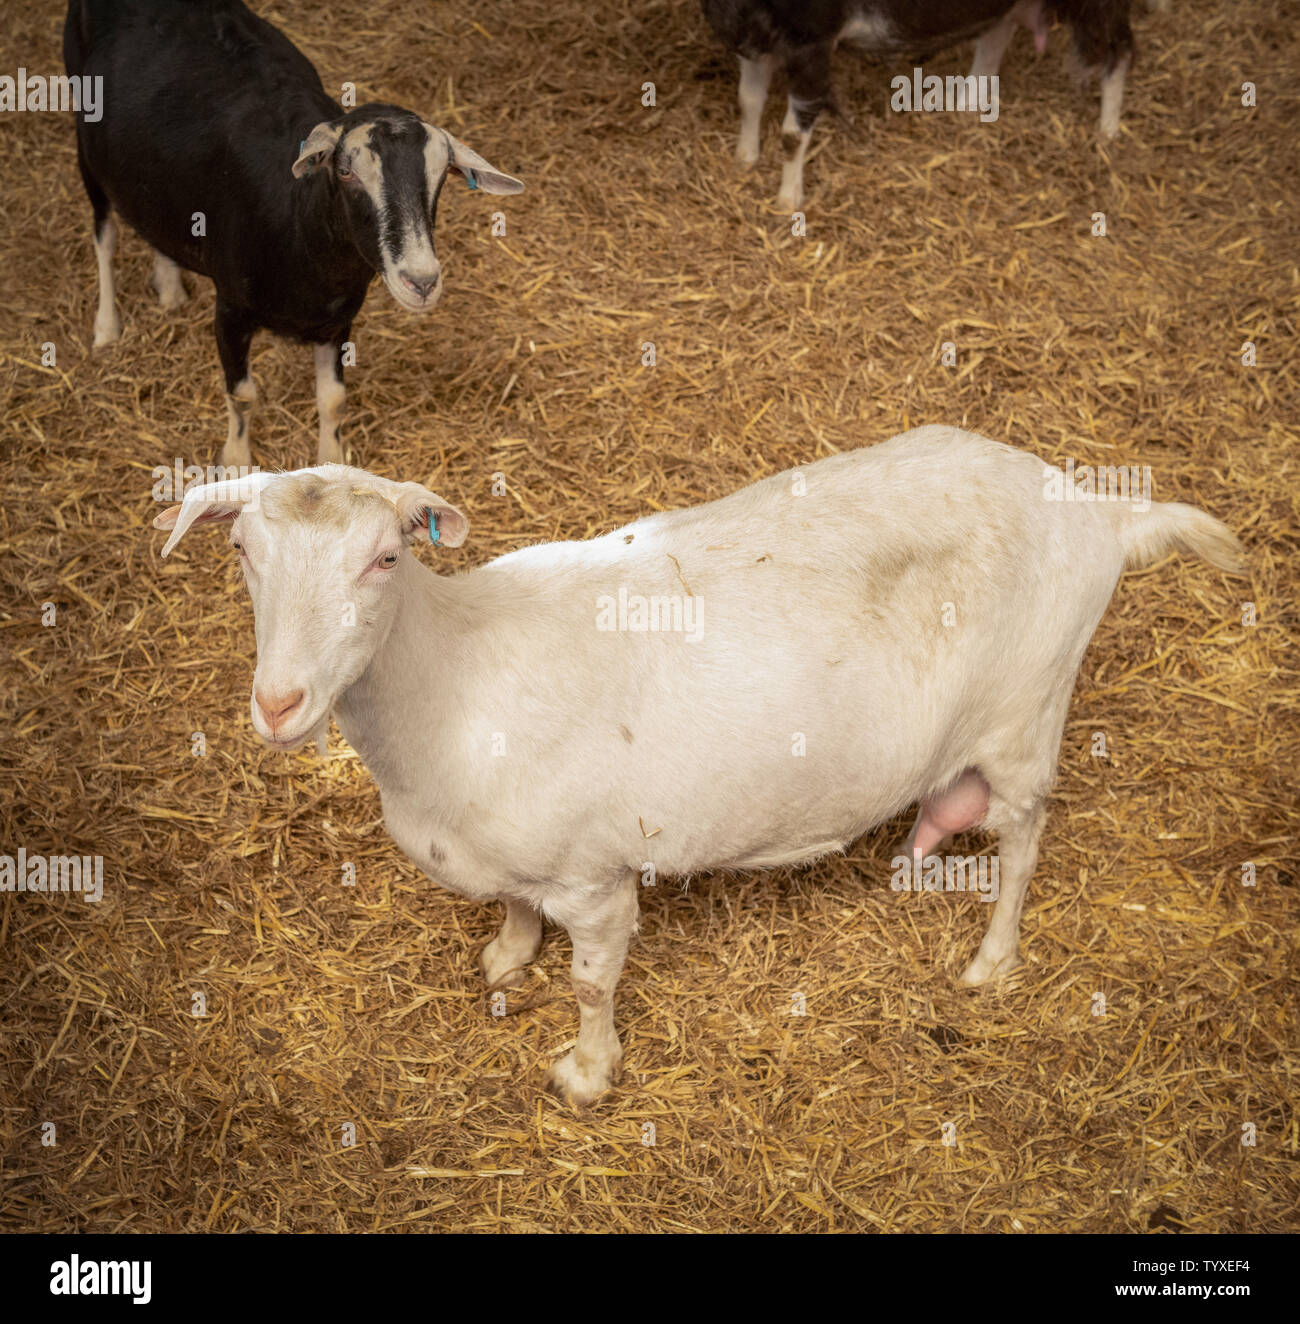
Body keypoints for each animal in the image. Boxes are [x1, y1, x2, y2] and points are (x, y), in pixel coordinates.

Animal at [64, 0, 522, 466]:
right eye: (345, 172)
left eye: (441, 176)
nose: (423, 281)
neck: (298, 220)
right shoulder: (230, 308)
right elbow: (243, 395)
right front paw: (236, 463)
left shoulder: (338, 320)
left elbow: (333, 400)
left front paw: (332, 461)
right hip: (87, 146)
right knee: (105, 237)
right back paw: (107, 328)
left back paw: (170, 289)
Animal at [155, 426, 1243, 1105]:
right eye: (243, 551)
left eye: (385, 558)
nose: (279, 705)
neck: (455, 681)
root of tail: (1098, 514)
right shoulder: (516, 853)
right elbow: (510, 909)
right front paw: (506, 955)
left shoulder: (595, 879)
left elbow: (591, 984)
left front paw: (586, 1075)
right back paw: (912, 855)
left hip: (1028, 711)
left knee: (1021, 844)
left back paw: (991, 960)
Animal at [701, 0, 1134, 208]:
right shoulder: (755, 38)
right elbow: (748, 100)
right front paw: (744, 159)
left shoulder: (811, 42)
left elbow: (793, 133)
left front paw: (787, 200)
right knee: (998, 34)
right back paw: (967, 102)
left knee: (1120, 48)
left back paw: (1108, 131)